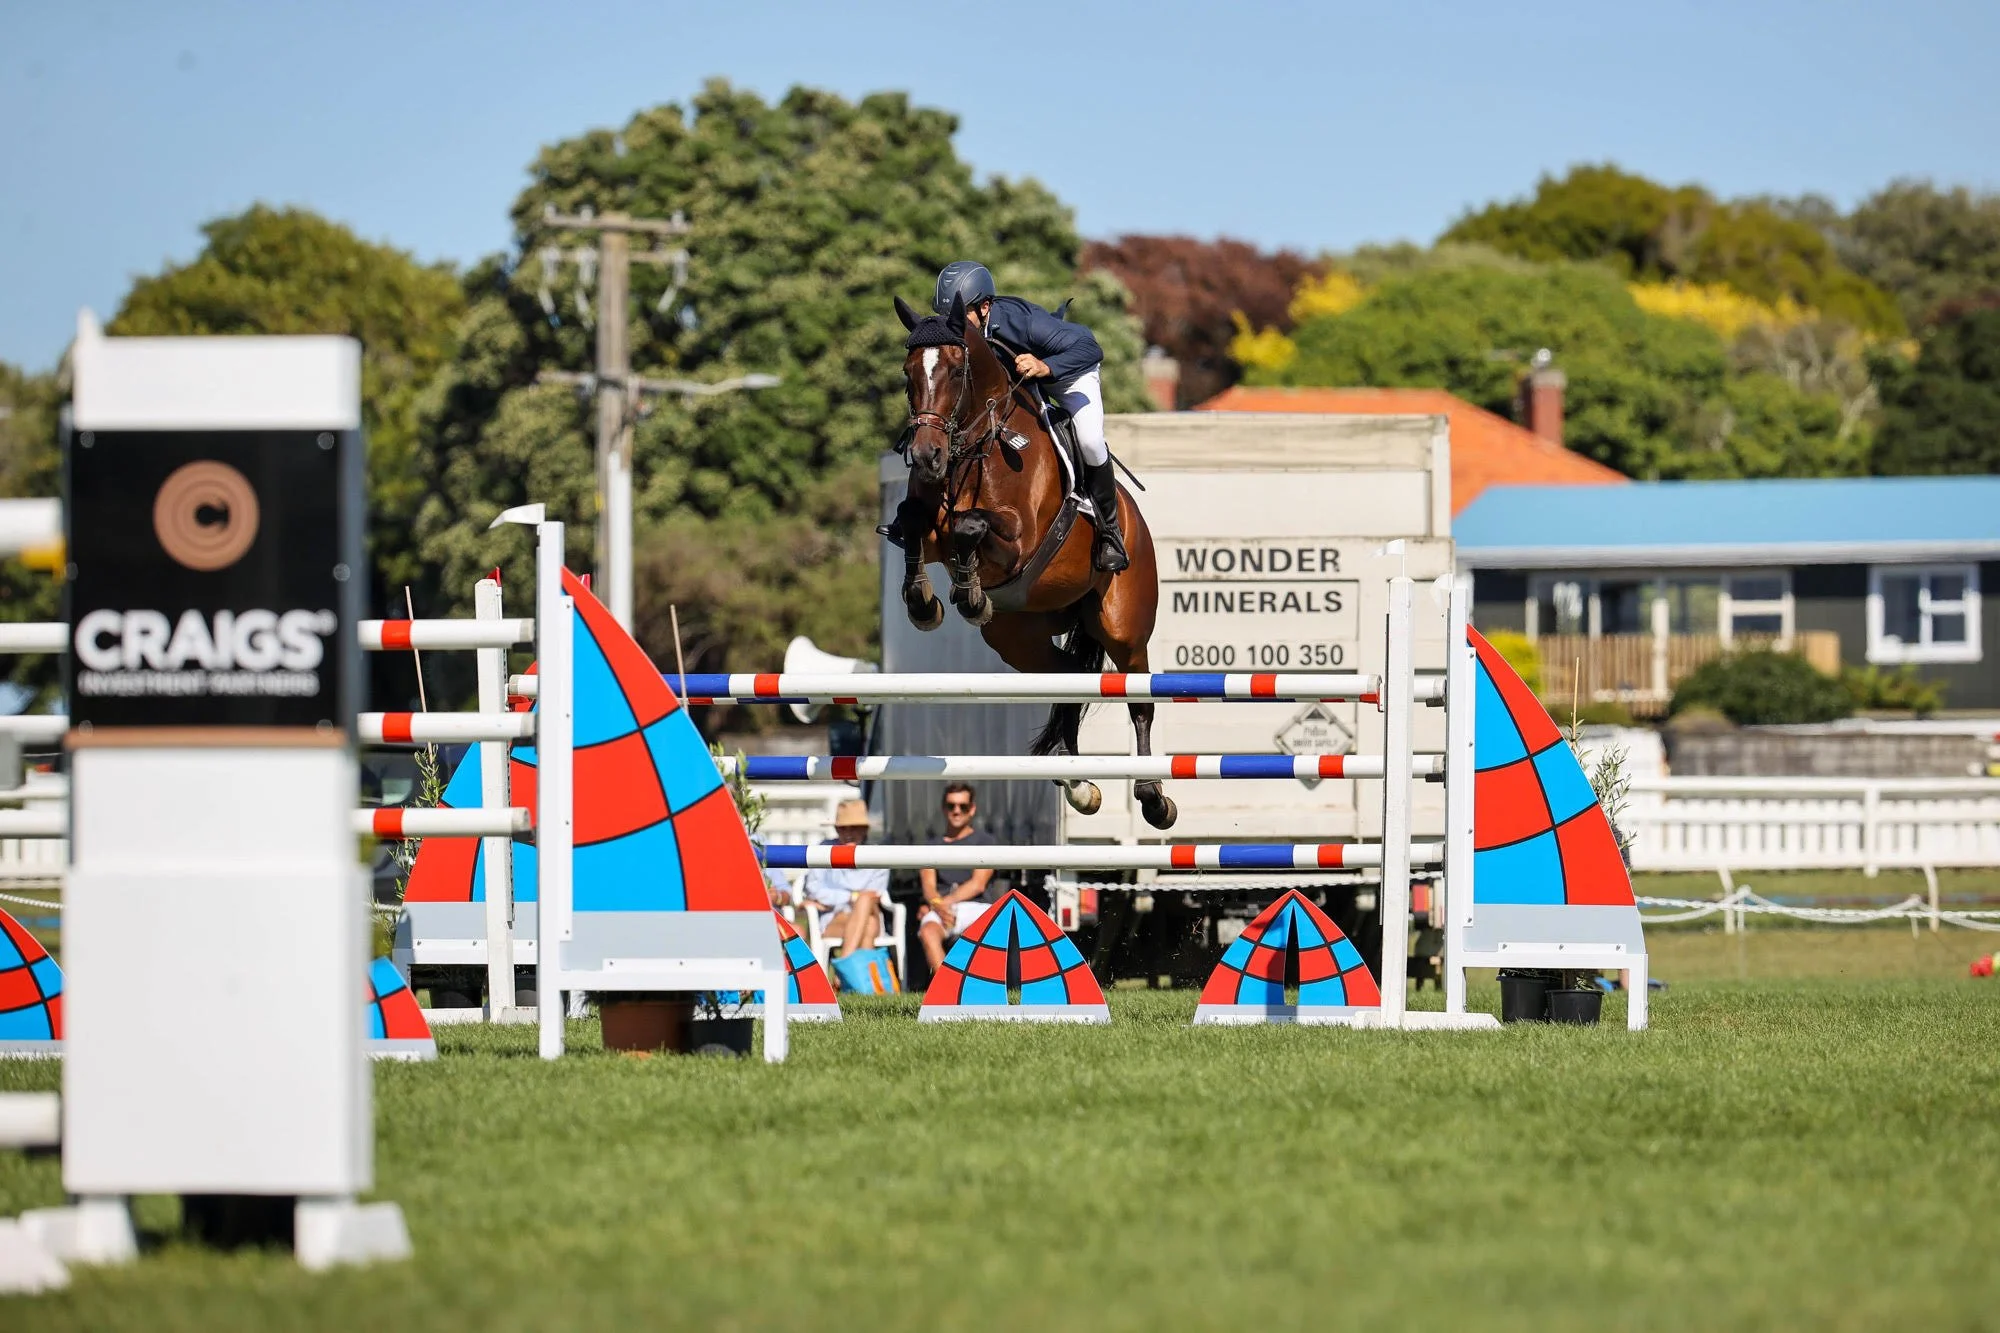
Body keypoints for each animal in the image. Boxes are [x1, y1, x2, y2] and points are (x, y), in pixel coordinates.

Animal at [889, 293, 1177, 831]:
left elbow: (970, 525)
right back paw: (1078, 784)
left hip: (1124, 625)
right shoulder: (929, 525)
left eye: (956, 370)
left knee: (1137, 700)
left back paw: (1153, 797)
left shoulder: (1019, 540)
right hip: (1019, 640)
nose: (926, 457)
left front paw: (968, 594)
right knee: (1069, 677)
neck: (979, 446)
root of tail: (1135, 520)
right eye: (907, 372)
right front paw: (924, 601)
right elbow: (915, 523)